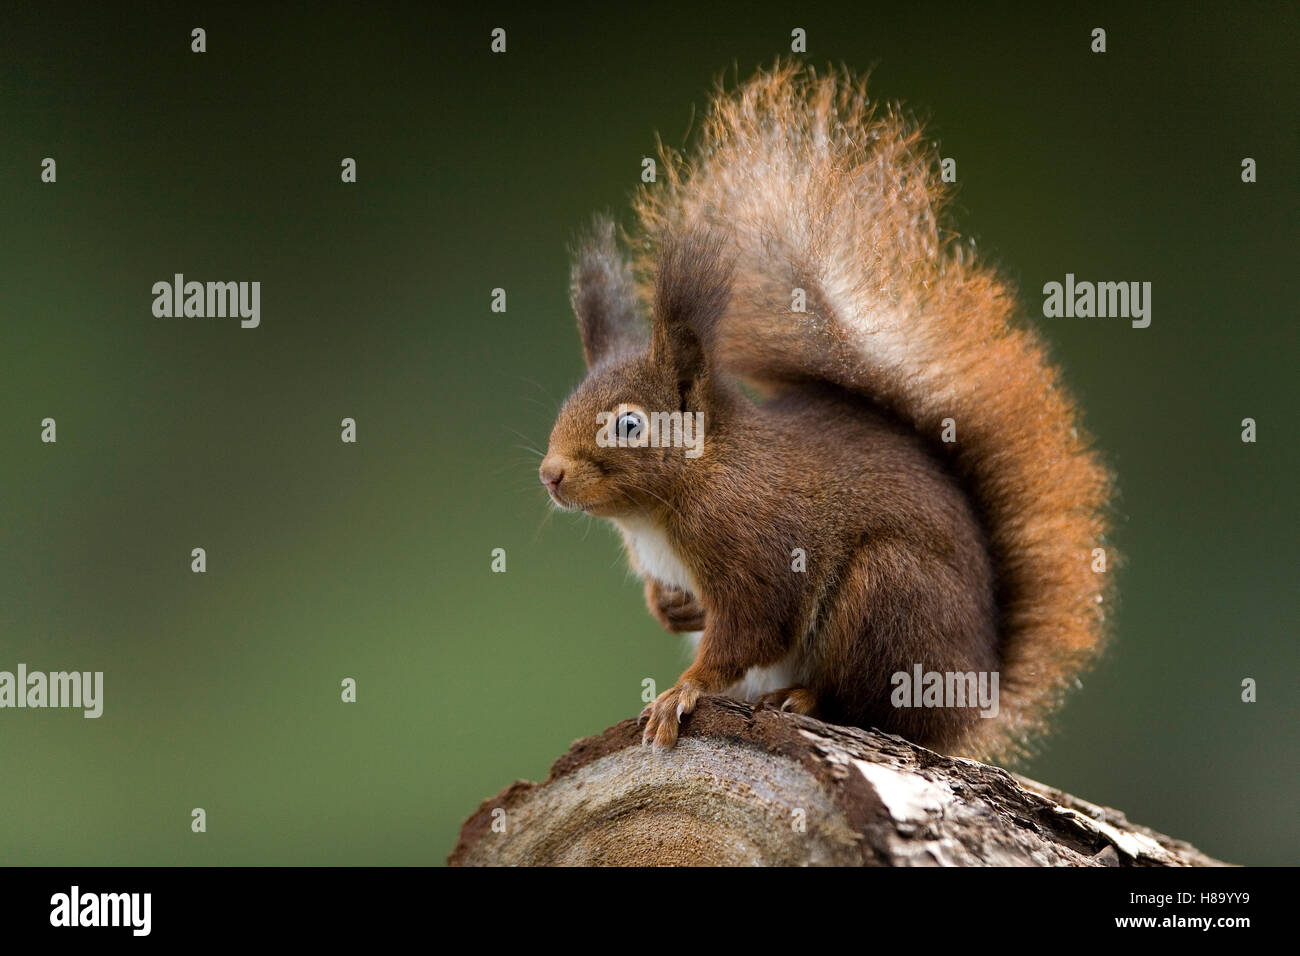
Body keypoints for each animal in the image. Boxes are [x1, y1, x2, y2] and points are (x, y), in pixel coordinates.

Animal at [539, 63, 1113, 762]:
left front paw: (682, 691)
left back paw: (808, 698)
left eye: (629, 424)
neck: (673, 499)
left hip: (888, 592)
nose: (550, 474)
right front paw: (672, 610)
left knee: (875, 706)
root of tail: (976, 693)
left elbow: (753, 629)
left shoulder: (756, 546)